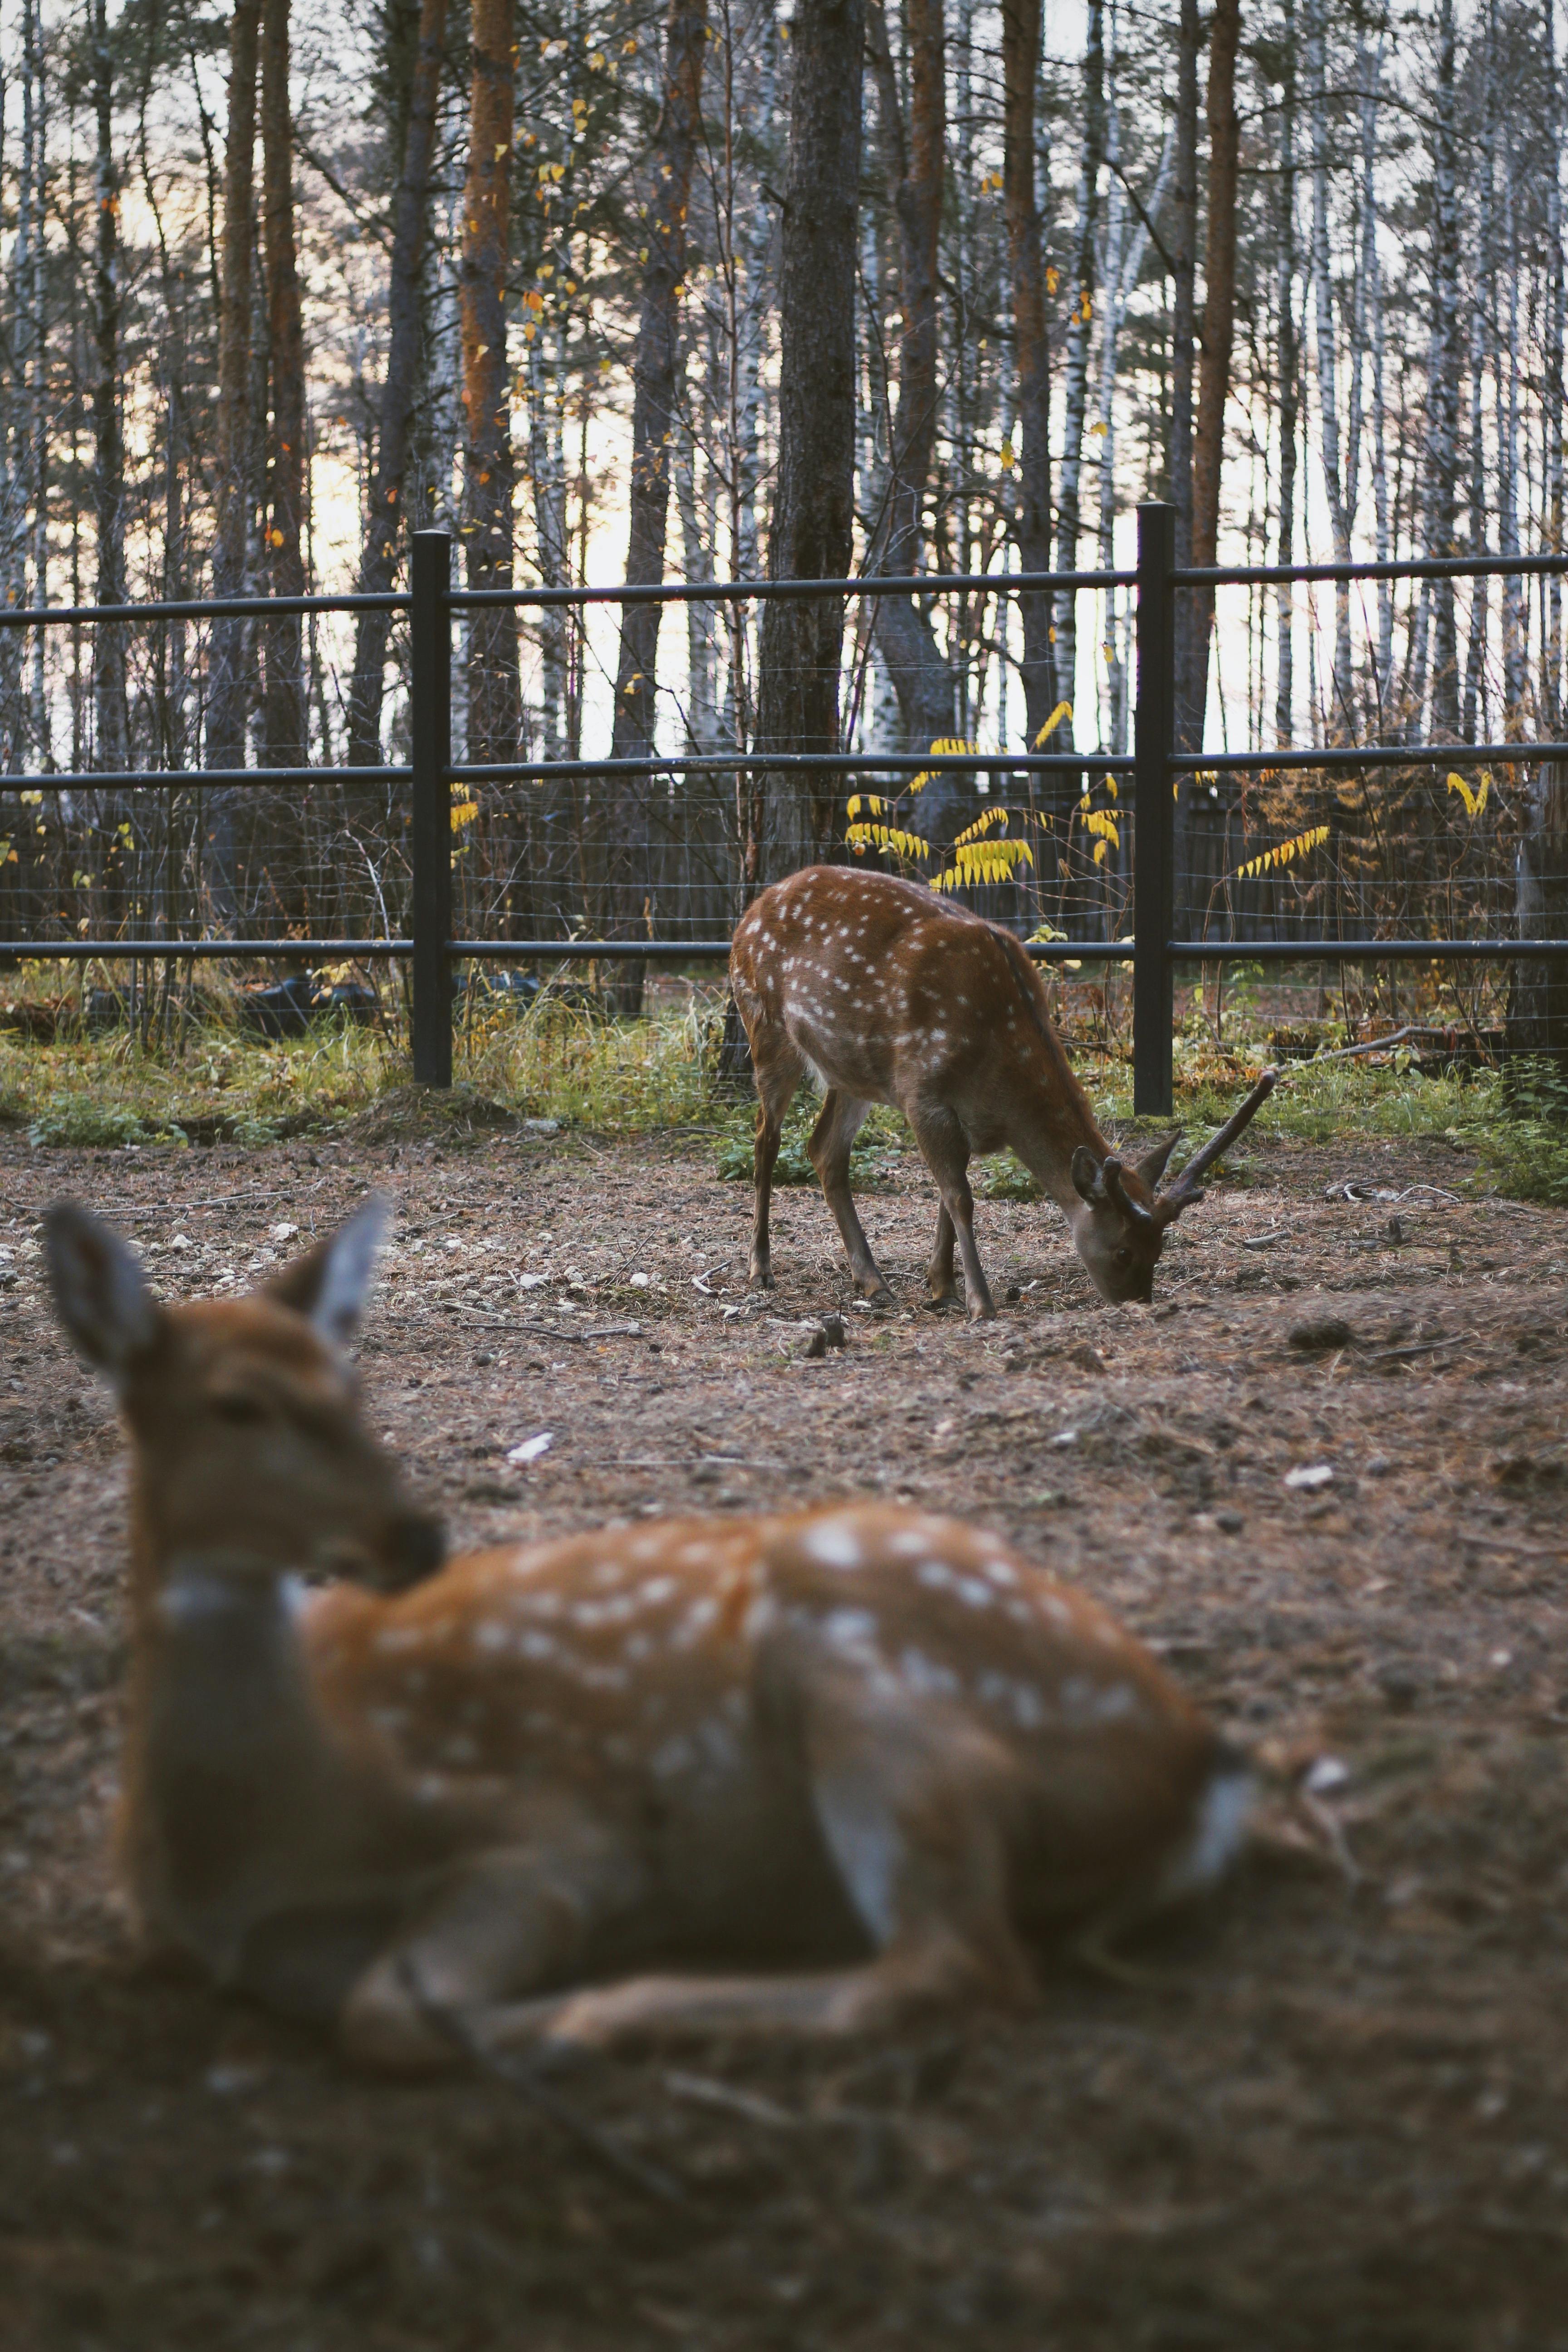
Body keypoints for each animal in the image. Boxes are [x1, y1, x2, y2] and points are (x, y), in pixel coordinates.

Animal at [45, 1196, 1252, 2071]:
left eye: (354, 1383)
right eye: (236, 1404)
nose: (413, 1529)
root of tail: (1205, 1767)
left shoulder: (556, 1835)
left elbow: (386, 2008)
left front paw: (541, 2014)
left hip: (873, 1682)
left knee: (952, 1964)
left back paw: (622, 2007)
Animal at [729, 865, 1278, 1319]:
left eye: (1161, 1247)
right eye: (1124, 1250)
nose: (1138, 1302)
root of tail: (749, 913)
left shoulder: (962, 1113)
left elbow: (947, 1196)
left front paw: (941, 1289)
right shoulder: (921, 1092)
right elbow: (959, 1197)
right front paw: (980, 1302)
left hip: (852, 1072)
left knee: (824, 1150)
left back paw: (874, 1282)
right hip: (765, 1027)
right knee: (765, 1140)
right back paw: (761, 1268)